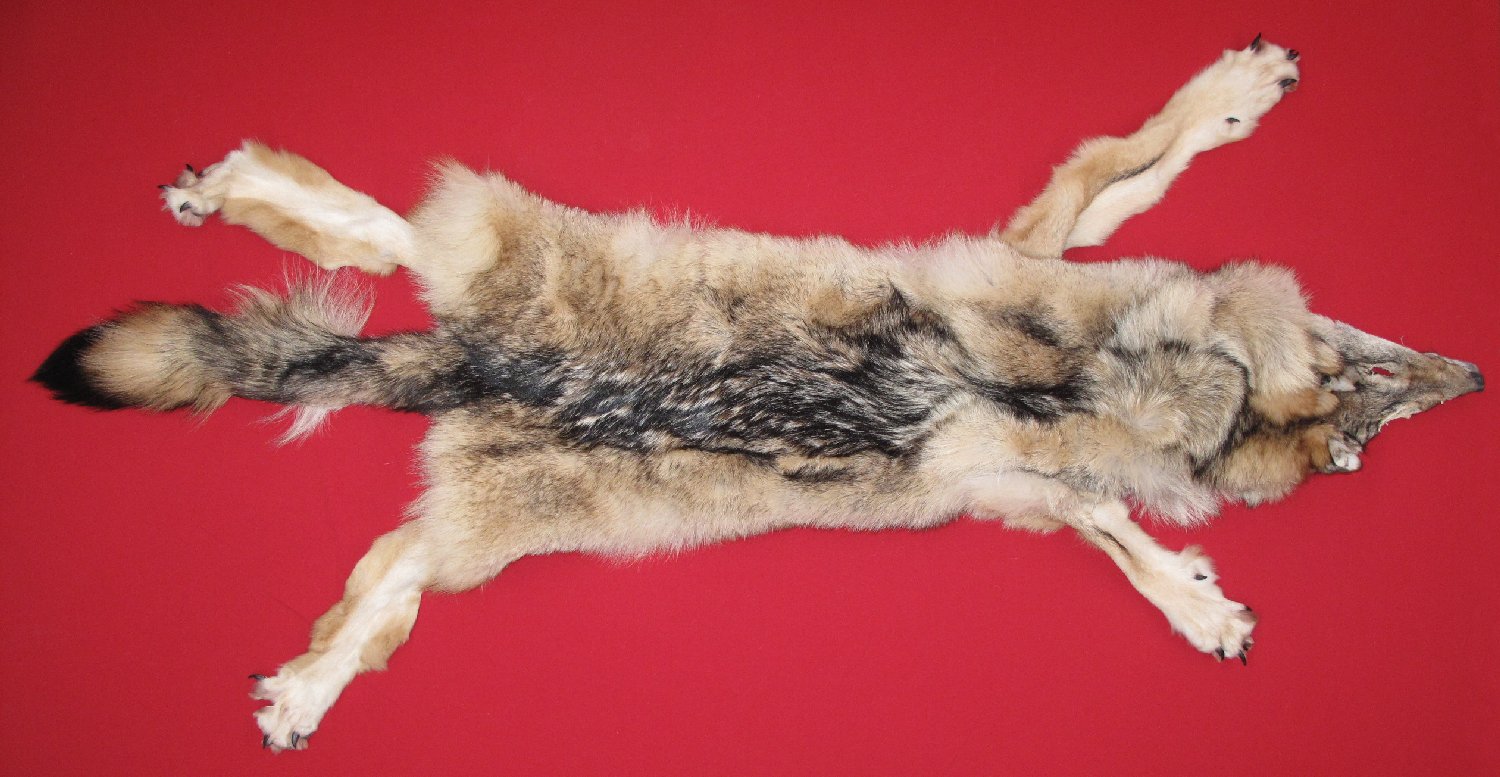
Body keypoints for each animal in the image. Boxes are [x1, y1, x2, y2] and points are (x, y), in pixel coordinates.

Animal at [31, 36, 1482, 751]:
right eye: (1364, 397)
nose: (1472, 373)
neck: (1107, 385)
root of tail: (474, 368)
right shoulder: (1045, 244)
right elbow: (1147, 152)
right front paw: (1240, 88)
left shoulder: (1026, 475)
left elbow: (1111, 528)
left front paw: (1190, 595)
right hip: (496, 278)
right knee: (373, 245)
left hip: (494, 501)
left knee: (389, 550)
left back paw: (304, 684)